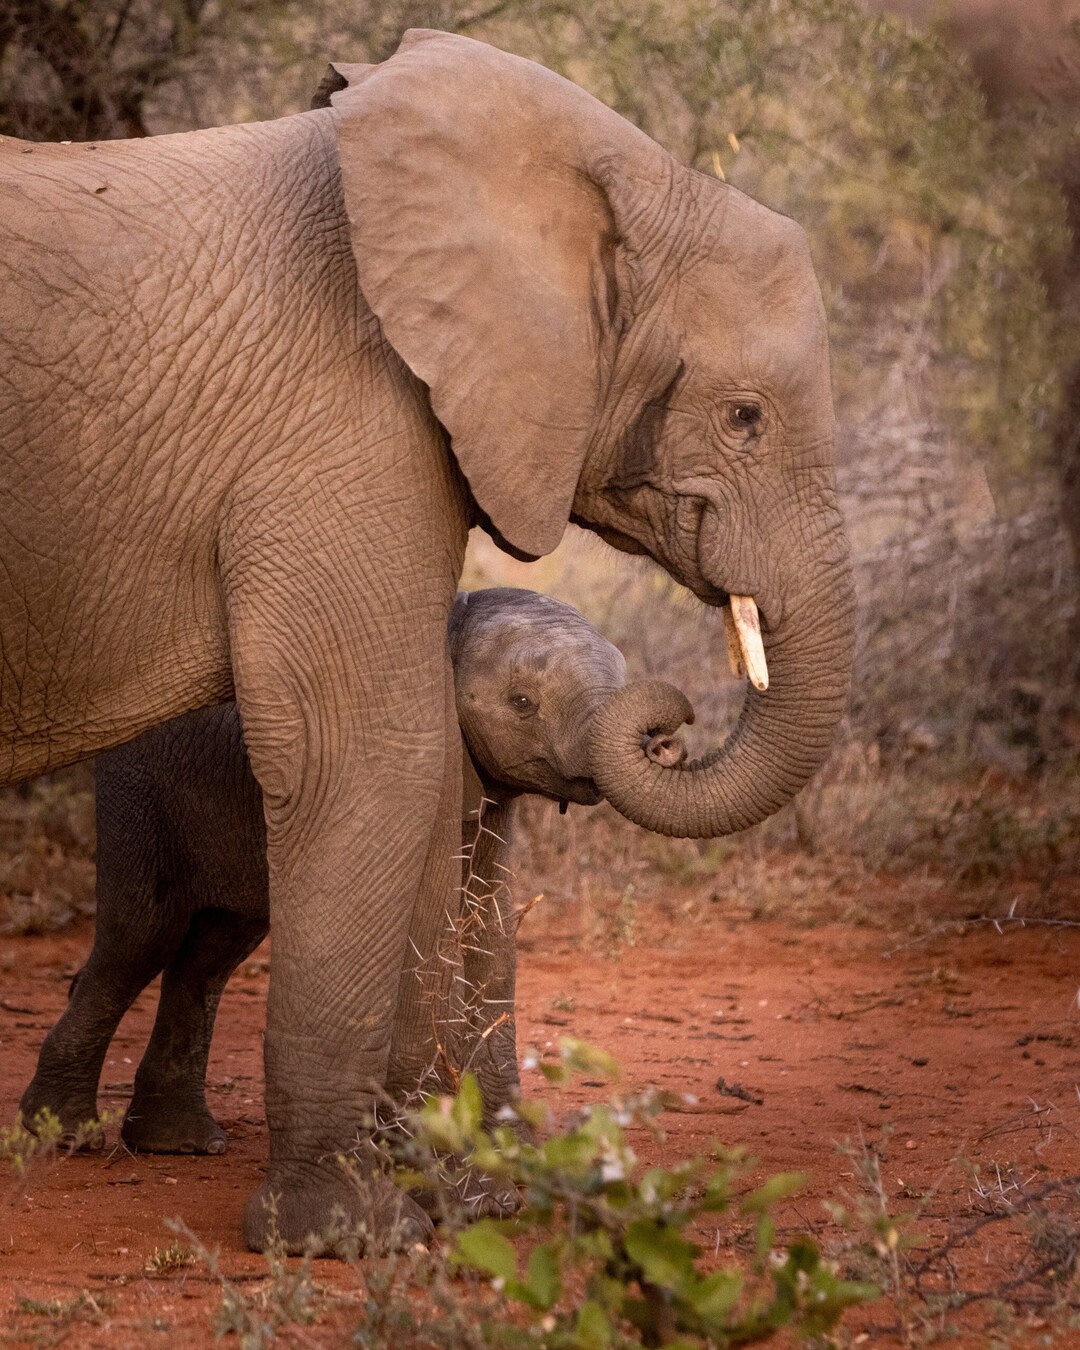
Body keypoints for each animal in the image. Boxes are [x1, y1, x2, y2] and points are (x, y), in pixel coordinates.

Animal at [19, 587, 661, 1163]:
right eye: (522, 702)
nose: (660, 744)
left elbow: (491, 939)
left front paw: (514, 1155)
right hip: (141, 797)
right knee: (139, 940)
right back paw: (66, 1137)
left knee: (211, 954)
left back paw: (182, 1145)